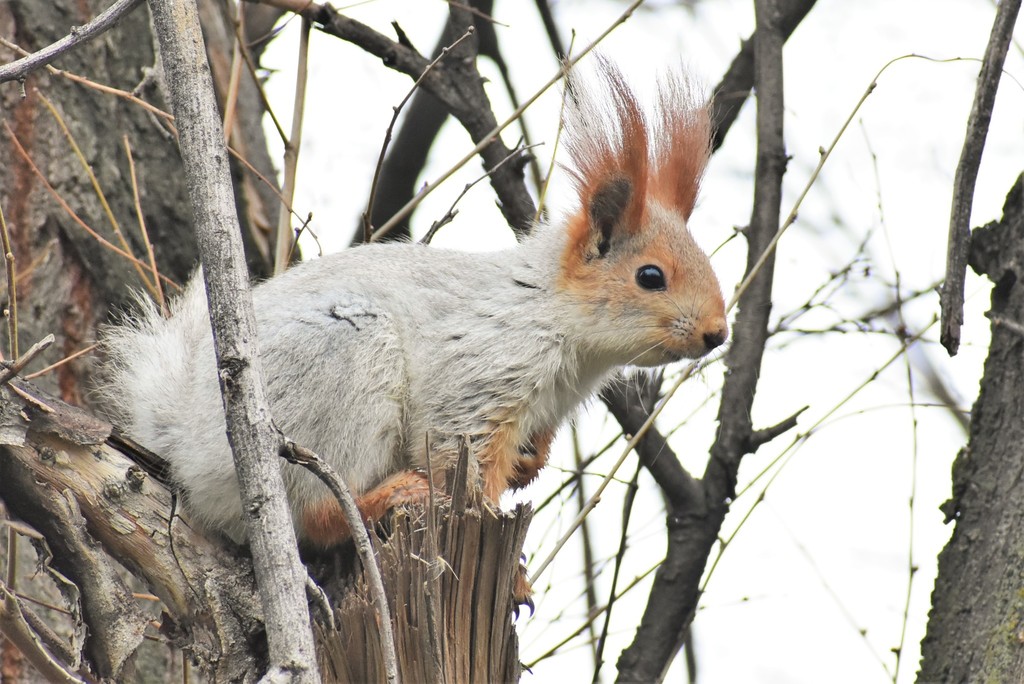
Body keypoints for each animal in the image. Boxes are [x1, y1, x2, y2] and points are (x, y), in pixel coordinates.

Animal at [98, 60, 728, 550]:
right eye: (651, 277)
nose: (717, 333)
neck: (558, 325)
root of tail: (184, 444)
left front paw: (531, 464)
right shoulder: (481, 375)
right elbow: (462, 462)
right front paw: (512, 569)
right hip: (333, 378)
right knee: (318, 512)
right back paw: (391, 495)